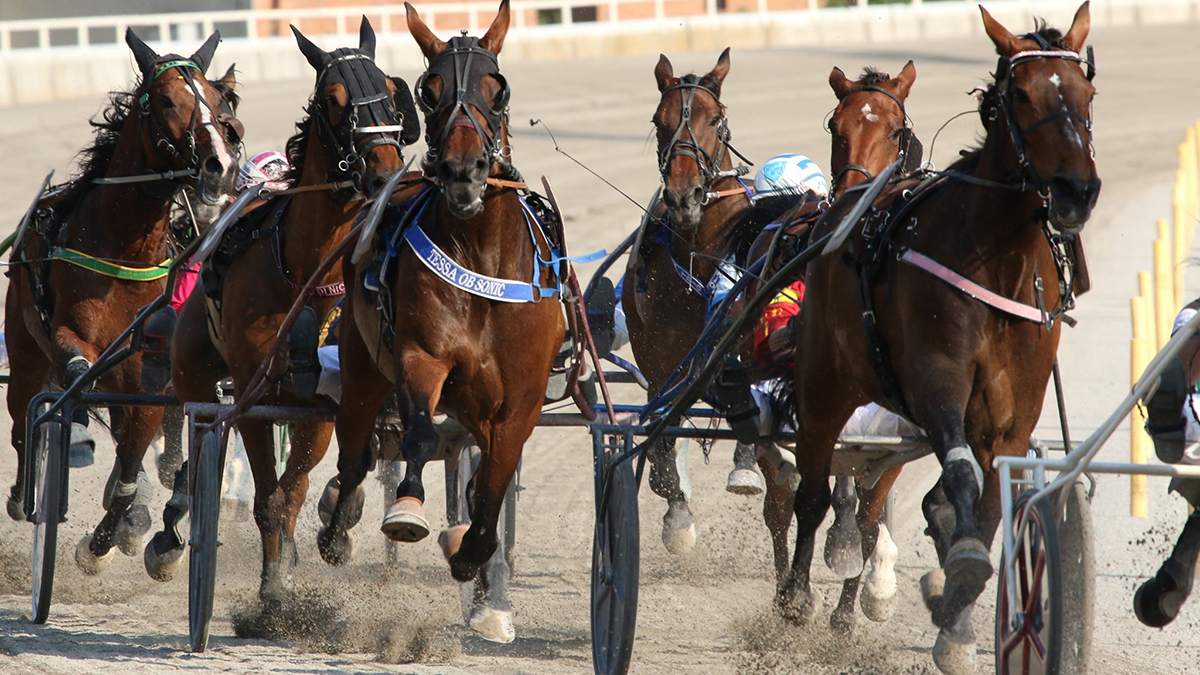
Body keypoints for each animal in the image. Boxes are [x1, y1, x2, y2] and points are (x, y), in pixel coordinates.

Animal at [4, 29, 241, 575]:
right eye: (167, 100)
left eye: (217, 101)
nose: (220, 167)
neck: (124, 249)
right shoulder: (71, 336)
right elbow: (74, 373)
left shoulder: (146, 374)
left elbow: (133, 460)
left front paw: (111, 537)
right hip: (23, 346)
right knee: (22, 414)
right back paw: (25, 492)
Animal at [144, 17, 417, 601]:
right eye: (335, 99)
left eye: (389, 89)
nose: (384, 168)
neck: (304, 270)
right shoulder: (255, 392)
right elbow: (268, 495)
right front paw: (272, 590)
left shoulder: (321, 402)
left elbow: (294, 490)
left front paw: (300, 556)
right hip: (195, 368)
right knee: (194, 439)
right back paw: (172, 528)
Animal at [318, 0, 564, 643]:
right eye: (427, 92)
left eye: (497, 88)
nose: (463, 171)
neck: (481, 259)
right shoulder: (420, 357)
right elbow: (420, 435)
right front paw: (406, 511)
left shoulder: (521, 397)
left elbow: (496, 478)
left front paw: (472, 555)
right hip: (361, 366)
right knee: (354, 452)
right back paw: (335, 526)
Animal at [778, 5, 1098, 672]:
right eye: (1021, 95)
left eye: (1086, 92)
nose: (1077, 189)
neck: (997, 259)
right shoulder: (938, 380)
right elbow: (957, 478)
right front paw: (960, 571)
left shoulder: (1014, 415)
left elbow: (988, 504)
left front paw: (958, 617)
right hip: (824, 384)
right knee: (813, 493)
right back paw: (793, 600)